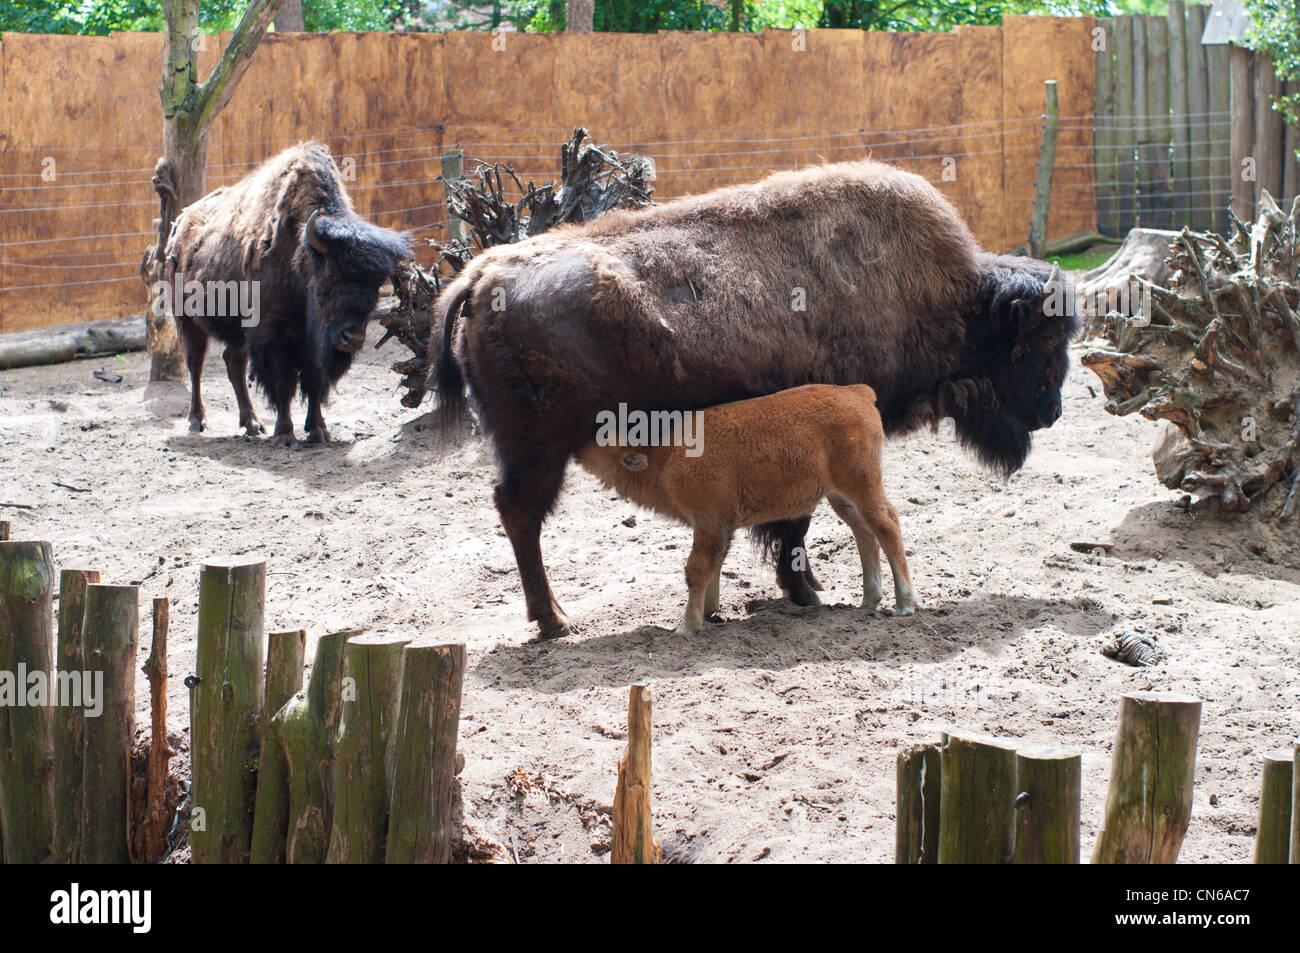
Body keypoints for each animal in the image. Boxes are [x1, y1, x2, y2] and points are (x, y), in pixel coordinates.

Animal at [161, 142, 410, 447]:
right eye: (330, 272)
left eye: (376, 284)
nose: (351, 338)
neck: (301, 257)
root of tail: (179, 223)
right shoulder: (273, 332)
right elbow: (283, 382)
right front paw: (285, 435)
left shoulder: (311, 340)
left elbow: (314, 380)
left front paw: (319, 431)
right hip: (187, 319)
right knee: (195, 364)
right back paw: (197, 422)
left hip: (238, 330)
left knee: (234, 362)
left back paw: (252, 424)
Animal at [577, 384, 915, 635]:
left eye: (604, 436)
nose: (579, 445)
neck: (665, 459)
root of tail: (856, 392)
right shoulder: (720, 527)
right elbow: (714, 564)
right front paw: (709, 612)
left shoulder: (709, 521)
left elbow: (696, 568)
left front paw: (686, 627)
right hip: (840, 496)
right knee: (863, 531)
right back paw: (869, 601)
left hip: (862, 485)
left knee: (886, 523)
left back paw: (905, 604)